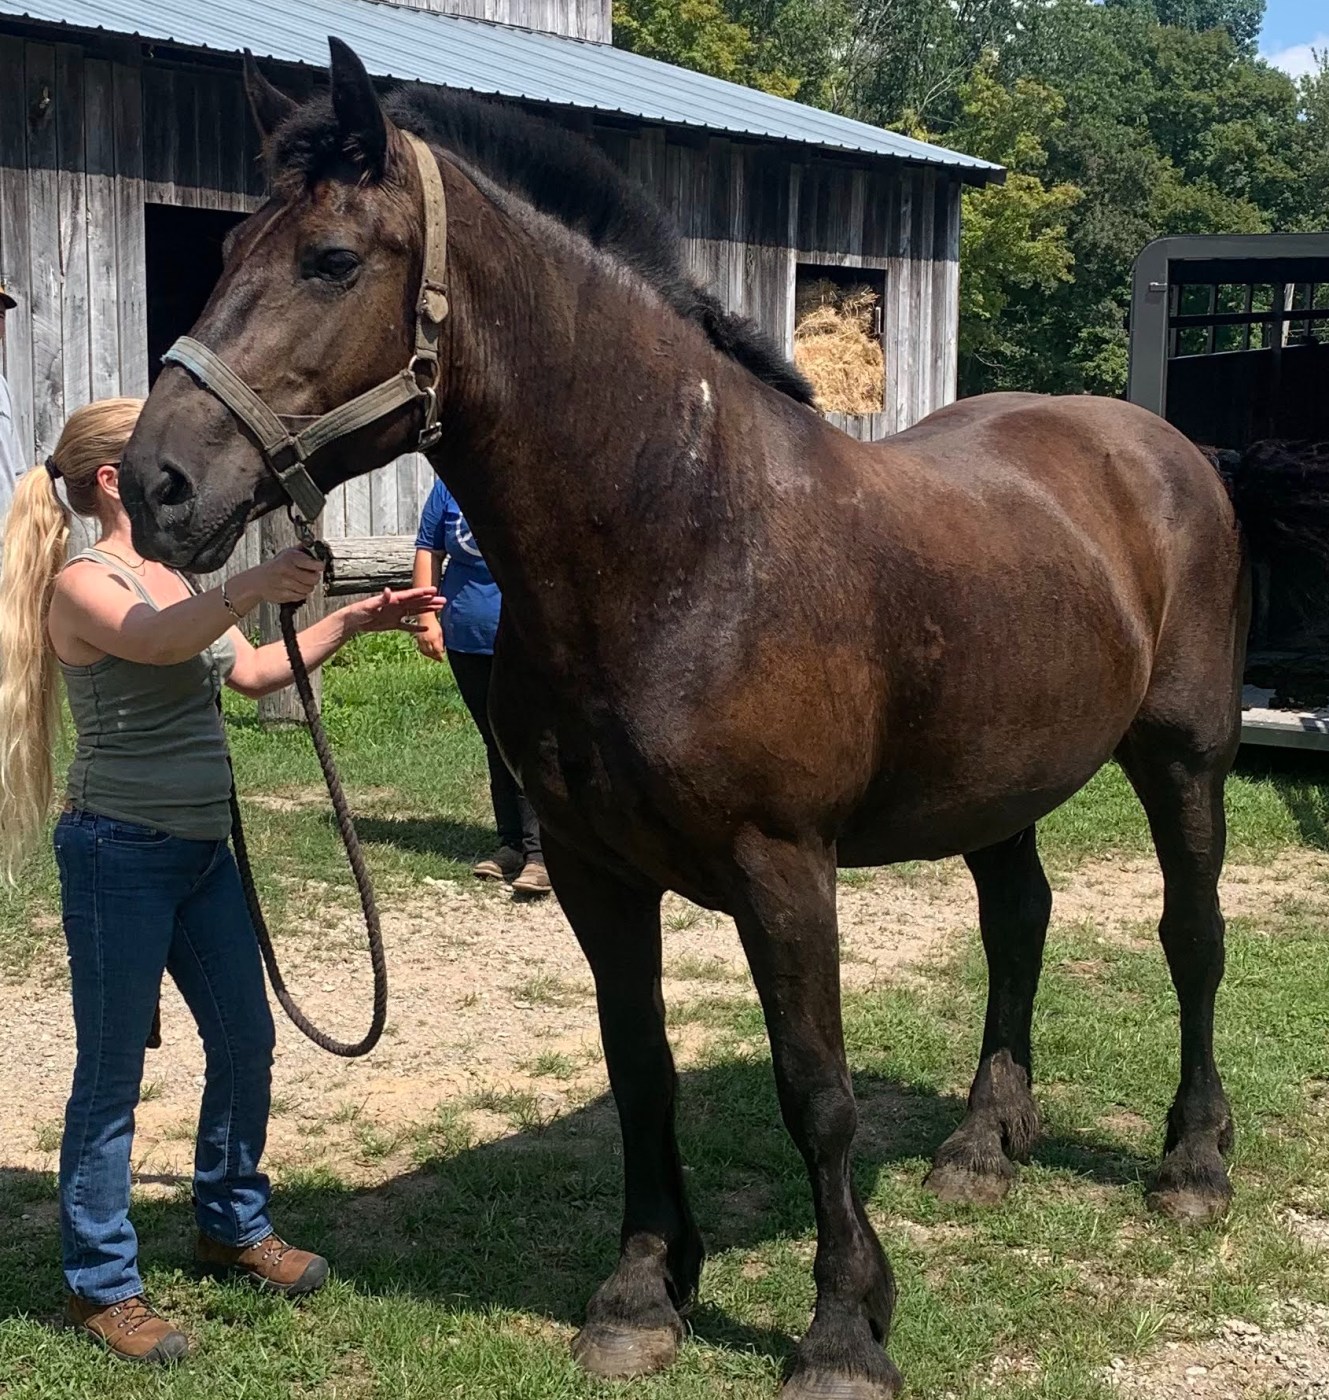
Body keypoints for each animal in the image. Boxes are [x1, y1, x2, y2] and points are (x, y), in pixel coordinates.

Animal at [118, 39, 1328, 1399]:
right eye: (226, 251)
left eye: (329, 259)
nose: (155, 483)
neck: (686, 536)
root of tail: (1179, 455)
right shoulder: (594, 869)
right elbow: (640, 1069)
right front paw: (643, 1292)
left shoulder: (783, 868)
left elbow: (819, 1092)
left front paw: (845, 1328)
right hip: (996, 781)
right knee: (1019, 920)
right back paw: (981, 1147)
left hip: (1183, 758)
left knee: (1193, 937)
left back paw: (1193, 1163)